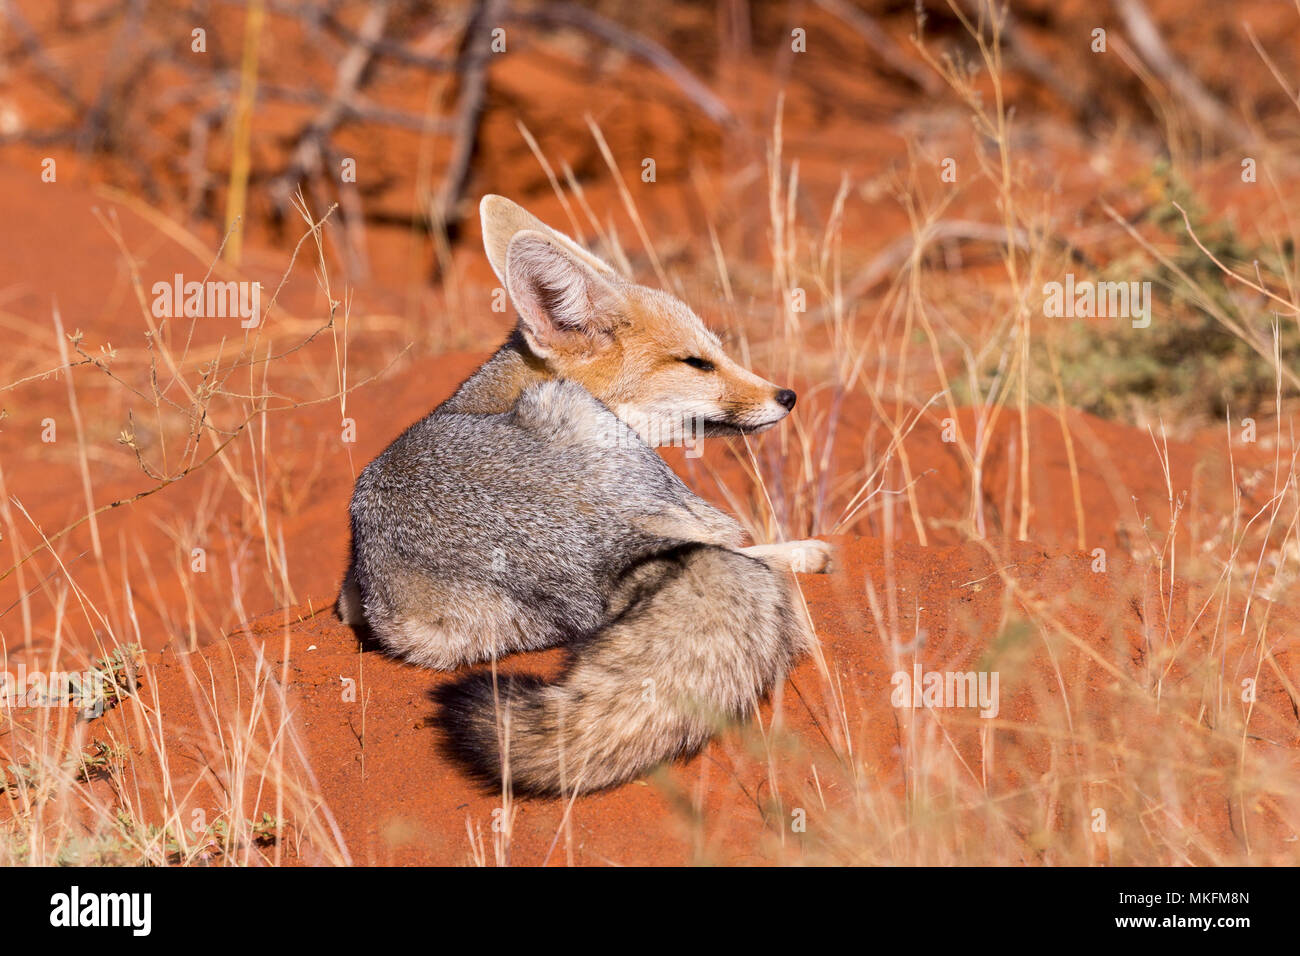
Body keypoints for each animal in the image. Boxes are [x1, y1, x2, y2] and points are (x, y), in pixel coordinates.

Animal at [338, 194, 831, 796]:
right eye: (697, 363)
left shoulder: (350, 598)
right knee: (744, 553)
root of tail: (611, 545)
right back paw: (810, 552)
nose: (787, 395)